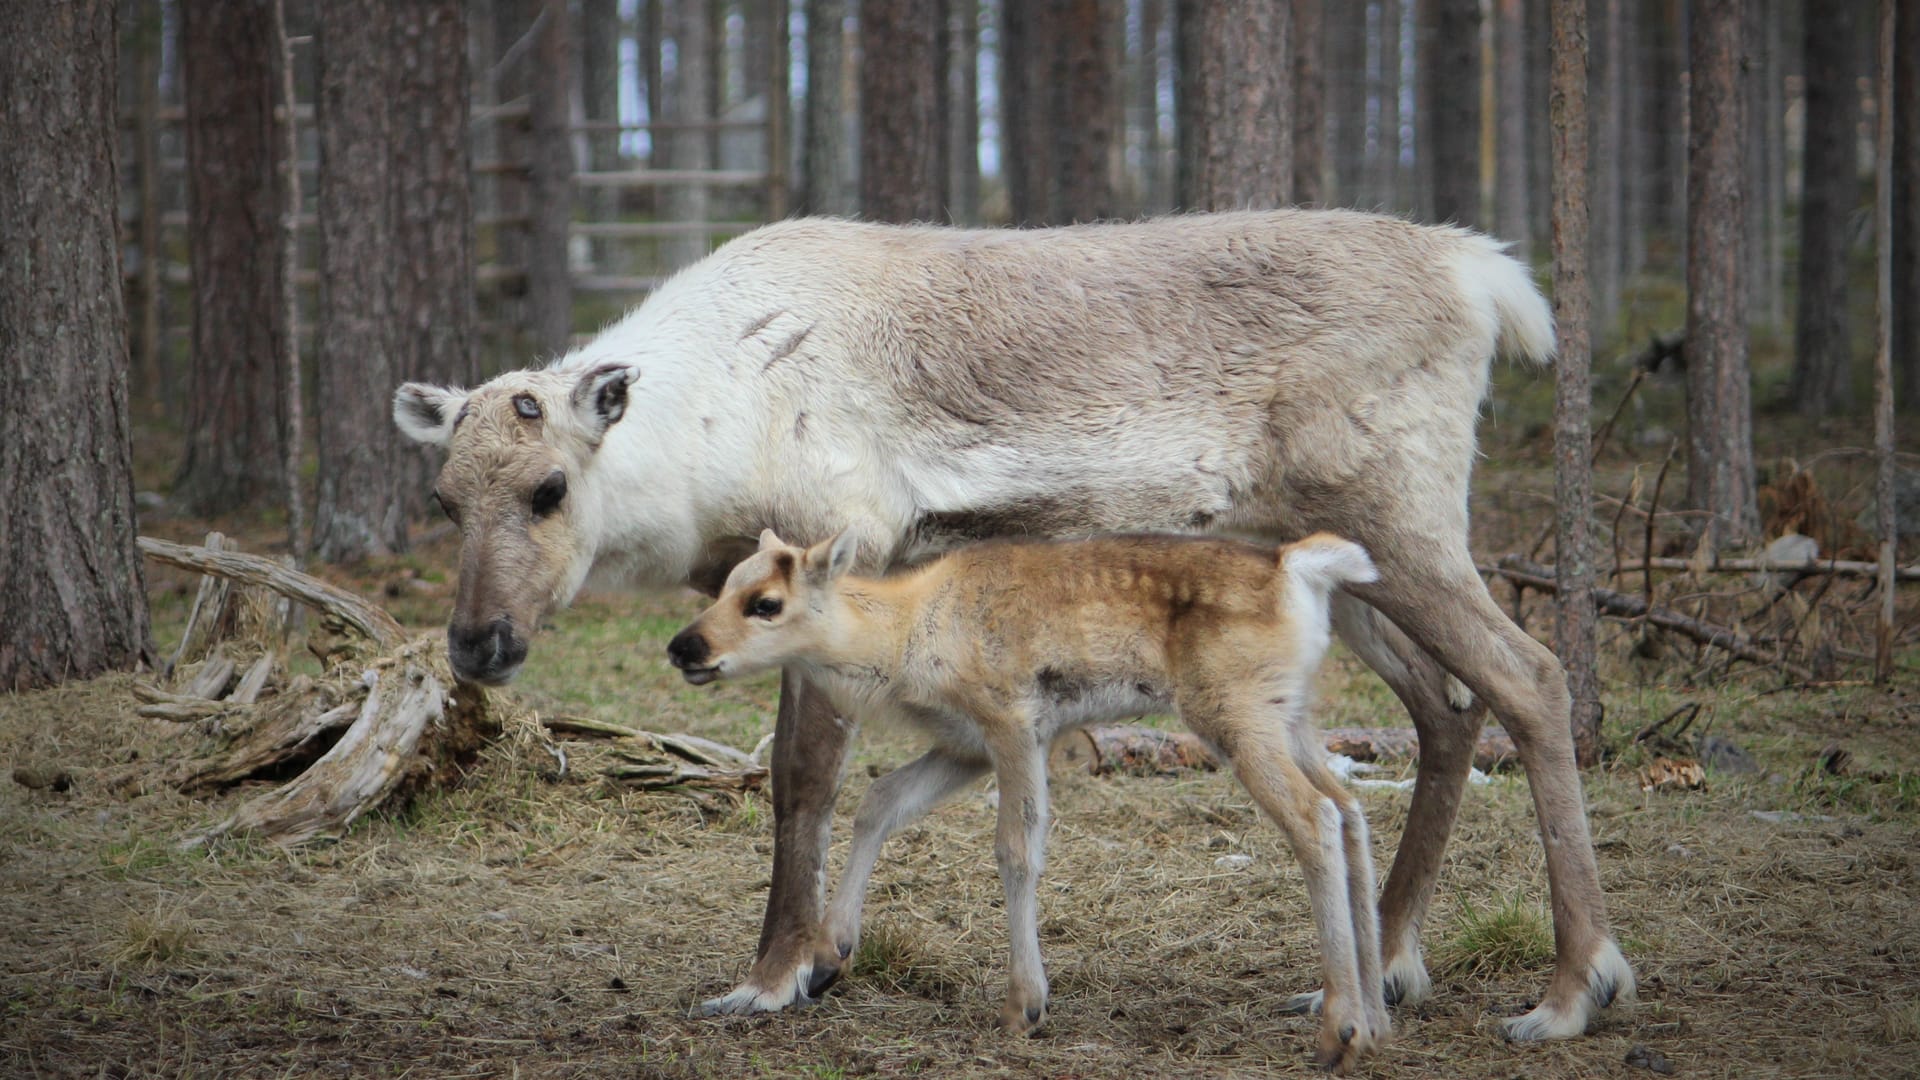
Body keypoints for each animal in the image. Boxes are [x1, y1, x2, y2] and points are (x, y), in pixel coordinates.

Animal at [667, 528, 1391, 1070]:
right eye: (726, 585)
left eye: (765, 601)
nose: (684, 646)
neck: (907, 632)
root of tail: (1295, 567)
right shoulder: (964, 747)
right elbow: (879, 800)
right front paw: (827, 957)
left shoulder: (1013, 726)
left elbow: (1016, 848)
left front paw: (1025, 1003)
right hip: (1294, 720)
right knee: (1351, 810)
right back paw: (1378, 1017)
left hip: (1238, 719)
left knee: (1314, 817)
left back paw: (1339, 1029)